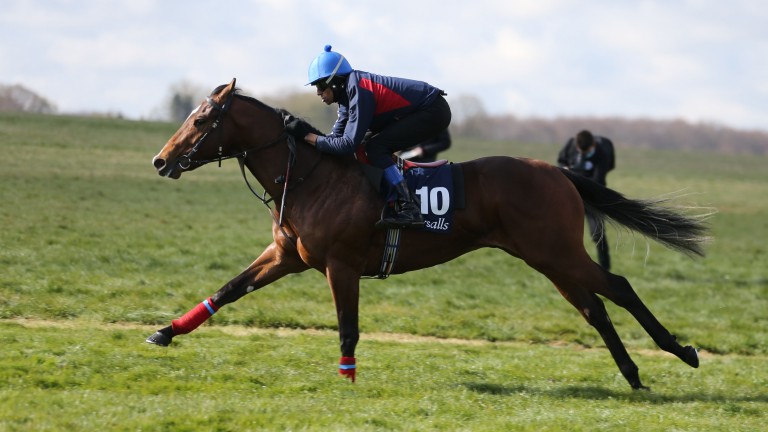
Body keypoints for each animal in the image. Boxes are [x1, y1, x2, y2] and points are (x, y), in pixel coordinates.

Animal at [147, 78, 709, 389]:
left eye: (202, 119)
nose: (160, 161)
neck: (308, 174)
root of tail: (557, 170)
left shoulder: (340, 265)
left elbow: (348, 326)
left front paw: (347, 379)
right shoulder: (287, 255)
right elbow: (229, 289)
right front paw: (166, 331)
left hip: (558, 251)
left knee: (619, 288)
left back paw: (681, 352)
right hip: (546, 258)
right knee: (594, 308)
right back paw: (632, 375)